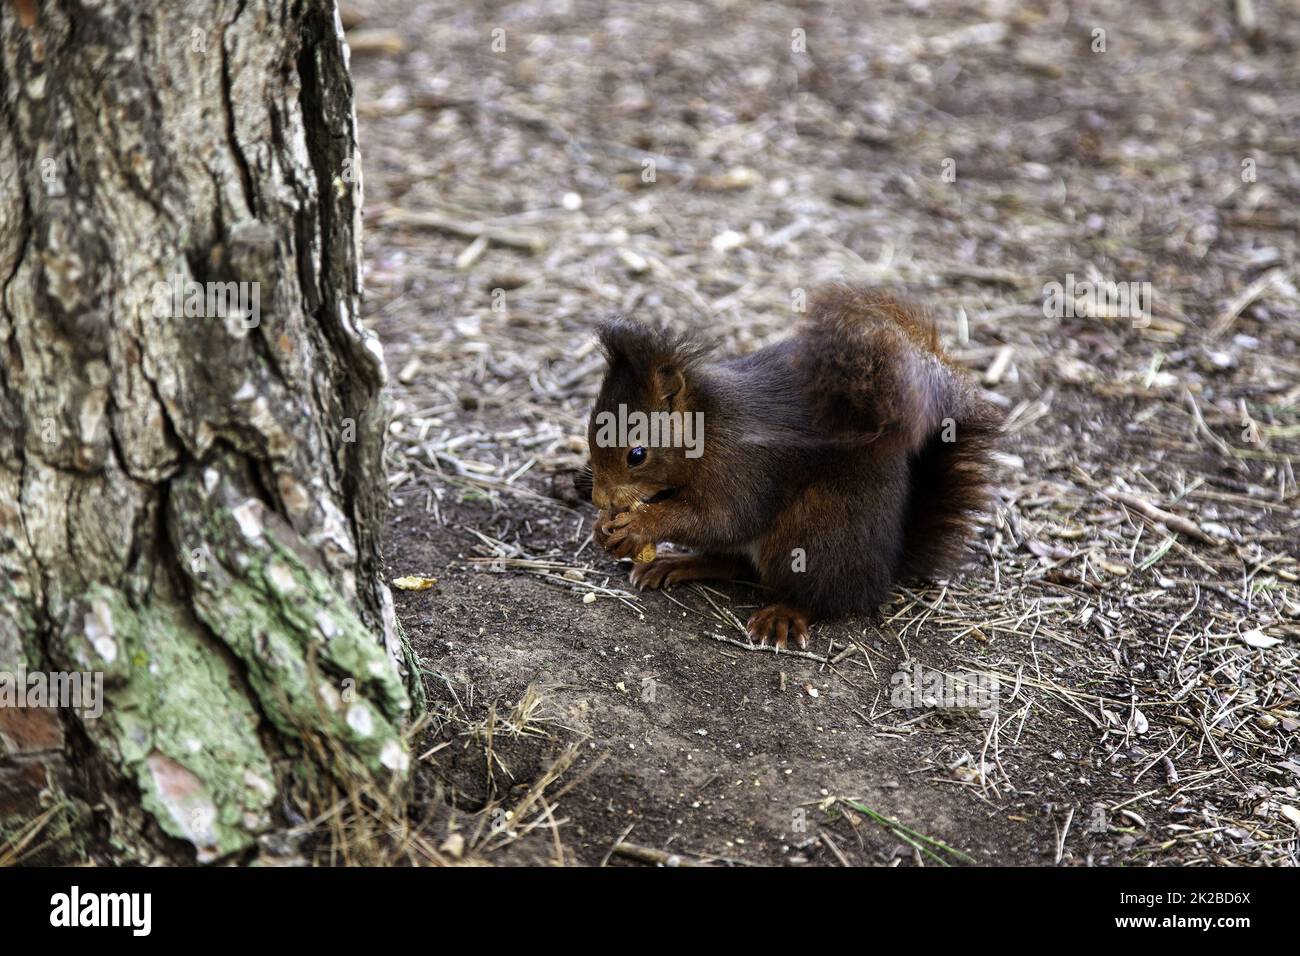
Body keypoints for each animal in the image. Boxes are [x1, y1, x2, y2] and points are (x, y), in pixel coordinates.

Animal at [576, 285, 1001, 649]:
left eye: (637, 454)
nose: (600, 499)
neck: (706, 427)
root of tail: (888, 565)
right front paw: (603, 527)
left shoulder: (743, 465)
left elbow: (724, 518)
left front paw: (642, 524)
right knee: (735, 563)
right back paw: (677, 562)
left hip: (820, 534)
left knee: (824, 596)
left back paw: (784, 613)